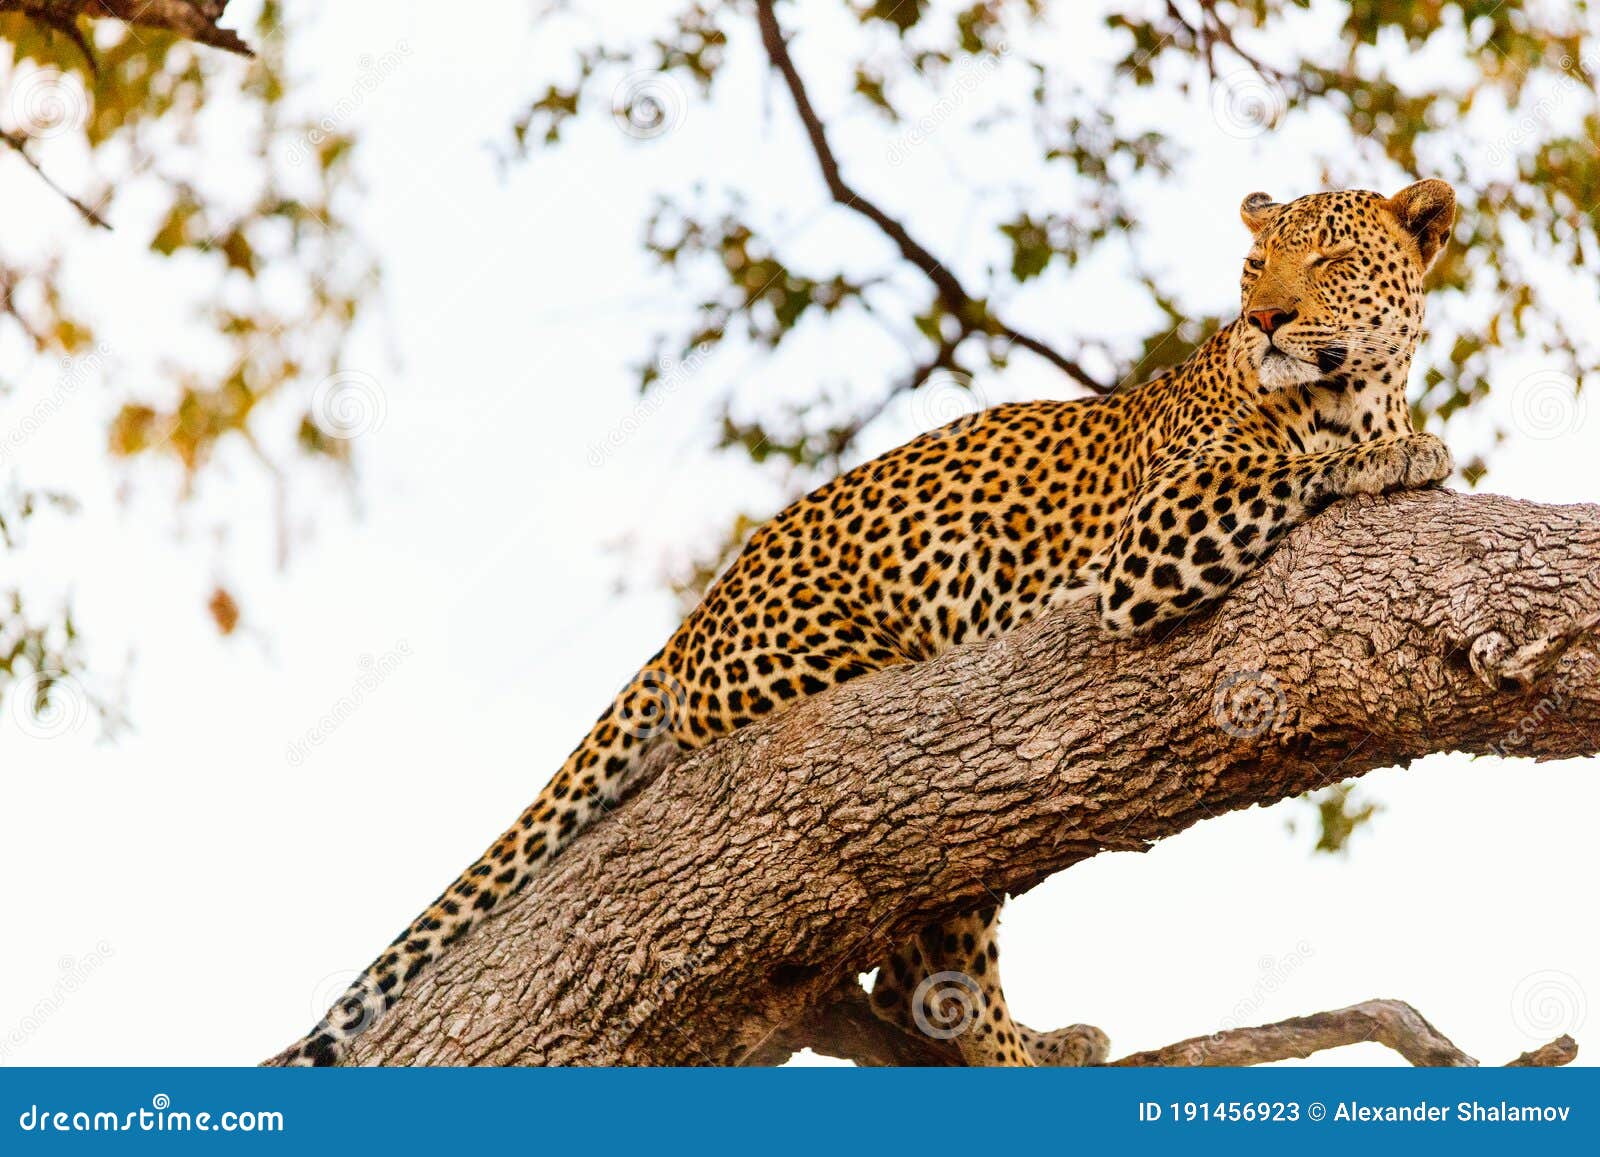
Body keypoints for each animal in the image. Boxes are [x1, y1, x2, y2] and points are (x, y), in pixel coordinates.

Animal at [277, 179, 1456, 1067]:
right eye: (1256, 269)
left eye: (1330, 261)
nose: (1266, 322)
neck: (1355, 389)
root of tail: (690, 622)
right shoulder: (1155, 535)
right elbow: (1294, 465)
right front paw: (1404, 452)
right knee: (932, 970)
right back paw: (1024, 1052)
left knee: (914, 968)